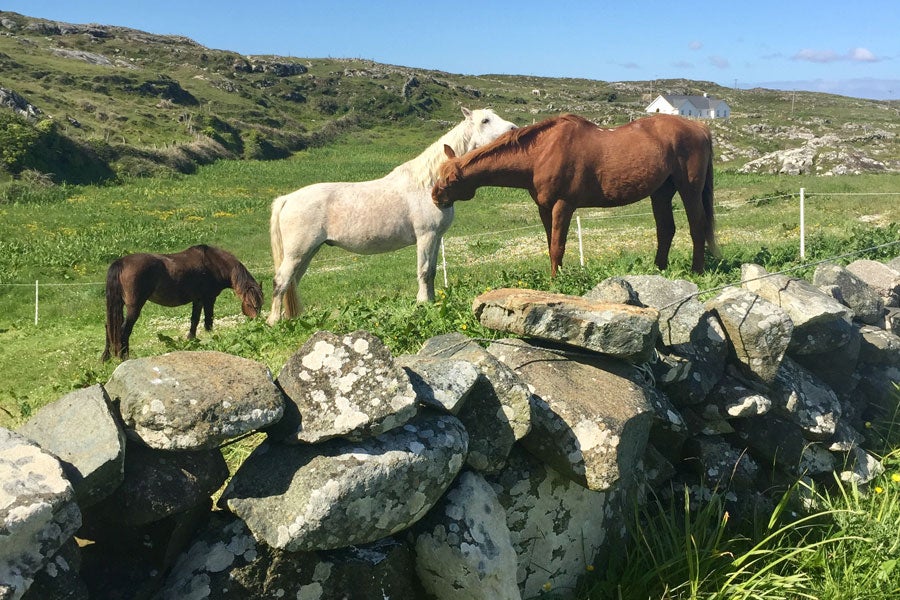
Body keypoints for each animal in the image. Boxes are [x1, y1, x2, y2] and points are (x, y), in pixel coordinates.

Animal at [102, 244, 263, 361]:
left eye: (260, 305)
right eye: (251, 305)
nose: (258, 325)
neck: (215, 262)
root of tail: (121, 262)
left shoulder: (198, 300)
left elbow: (194, 320)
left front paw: (191, 341)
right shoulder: (209, 298)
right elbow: (208, 321)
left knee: (110, 327)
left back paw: (106, 357)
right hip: (134, 307)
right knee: (124, 330)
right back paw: (123, 357)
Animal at [267, 107, 518, 325]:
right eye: (485, 120)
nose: (514, 129)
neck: (427, 184)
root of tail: (287, 198)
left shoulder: (436, 238)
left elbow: (432, 271)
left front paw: (432, 301)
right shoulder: (426, 236)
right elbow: (423, 271)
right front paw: (422, 302)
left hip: (307, 253)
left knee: (292, 282)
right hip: (298, 252)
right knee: (281, 281)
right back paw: (274, 321)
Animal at [432, 113, 719, 276]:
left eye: (450, 180)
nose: (435, 198)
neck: (541, 152)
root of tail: (700, 129)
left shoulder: (563, 205)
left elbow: (557, 246)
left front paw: (555, 282)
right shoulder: (544, 208)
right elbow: (550, 244)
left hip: (689, 189)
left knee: (697, 226)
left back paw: (696, 271)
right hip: (660, 192)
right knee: (666, 230)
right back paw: (657, 270)